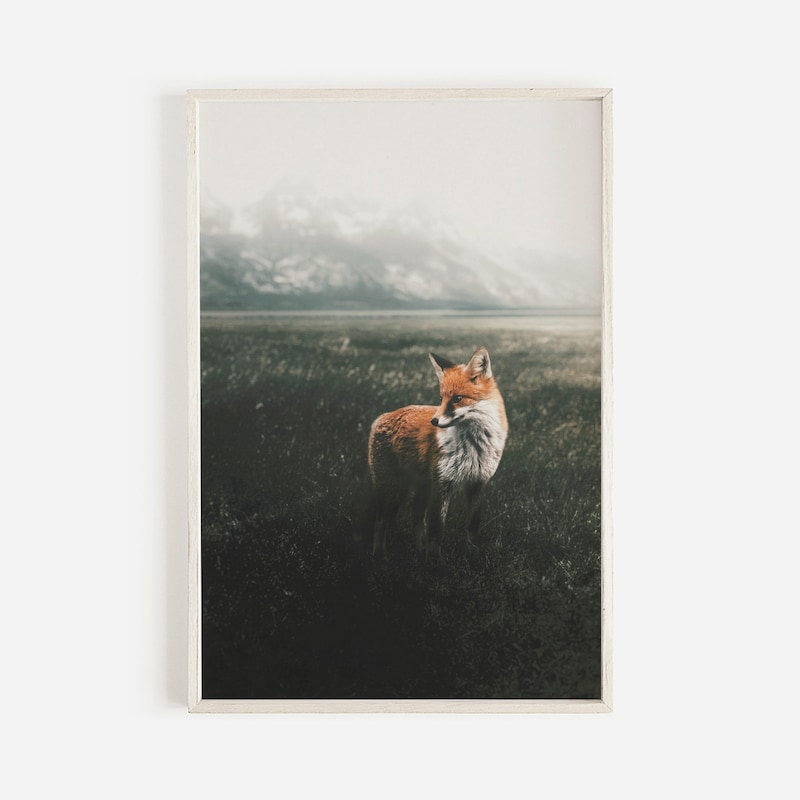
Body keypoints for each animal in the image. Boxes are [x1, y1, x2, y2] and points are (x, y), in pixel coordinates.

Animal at [367, 346, 508, 558]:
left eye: (457, 399)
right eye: (441, 399)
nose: (434, 421)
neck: (473, 446)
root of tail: (383, 416)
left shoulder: (477, 483)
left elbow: (472, 527)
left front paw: (472, 556)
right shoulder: (442, 484)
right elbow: (436, 529)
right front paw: (434, 561)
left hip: (421, 488)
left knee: (416, 518)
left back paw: (419, 552)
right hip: (392, 487)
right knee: (380, 522)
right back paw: (379, 556)